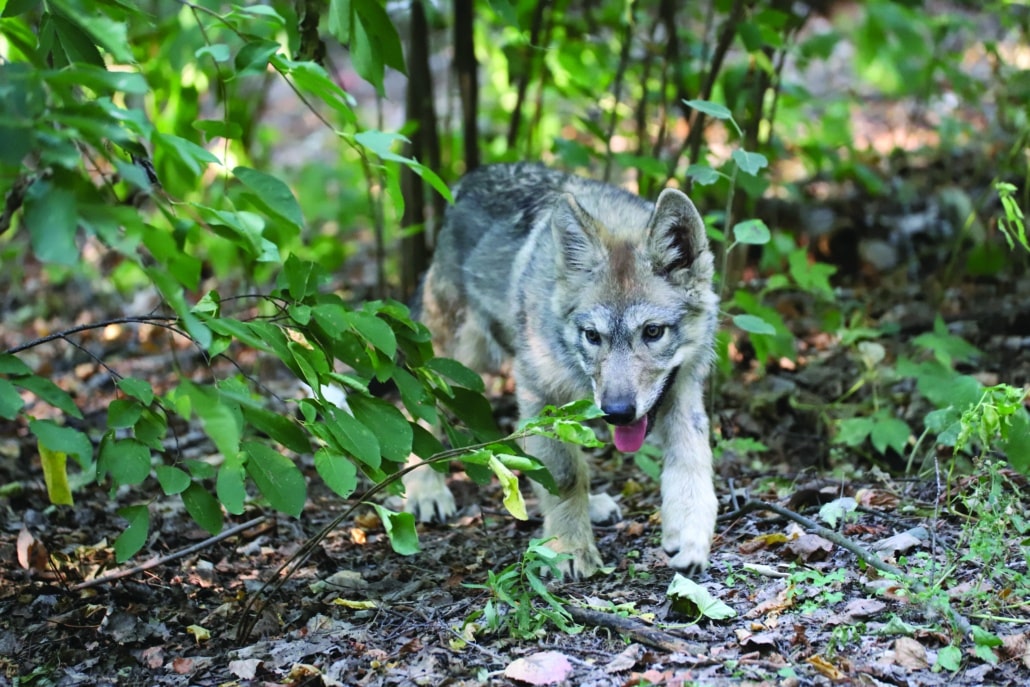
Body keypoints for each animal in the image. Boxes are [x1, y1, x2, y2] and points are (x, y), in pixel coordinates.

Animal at [404, 163, 719, 579]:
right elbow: (567, 475)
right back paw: (425, 491)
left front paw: (688, 532)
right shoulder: (541, 394)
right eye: (592, 336)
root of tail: (471, 177)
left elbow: (691, 458)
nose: (618, 413)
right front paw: (569, 548)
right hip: (457, 365)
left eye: (652, 332)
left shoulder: (681, 390)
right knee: (415, 408)